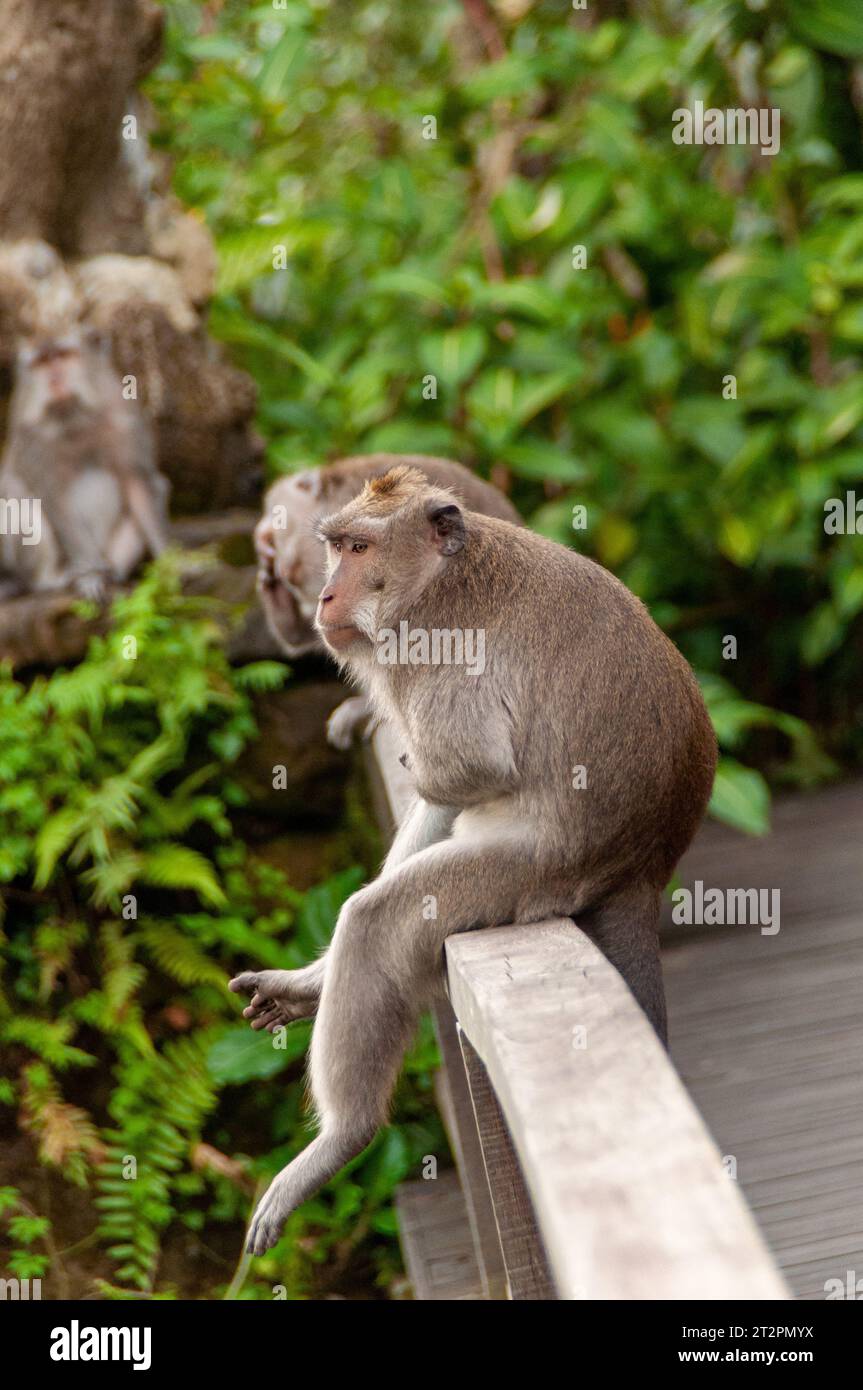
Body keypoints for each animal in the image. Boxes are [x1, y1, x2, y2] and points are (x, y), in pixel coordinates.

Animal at [0, 329, 168, 598]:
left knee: (158, 486)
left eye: (63, 355)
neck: (73, 419)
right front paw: (90, 577)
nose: (55, 380)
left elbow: (138, 484)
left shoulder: (125, 423)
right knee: (19, 496)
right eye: (42, 362)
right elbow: (53, 500)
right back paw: (54, 579)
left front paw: (175, 562)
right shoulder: (32, 437)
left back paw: (113, 572)